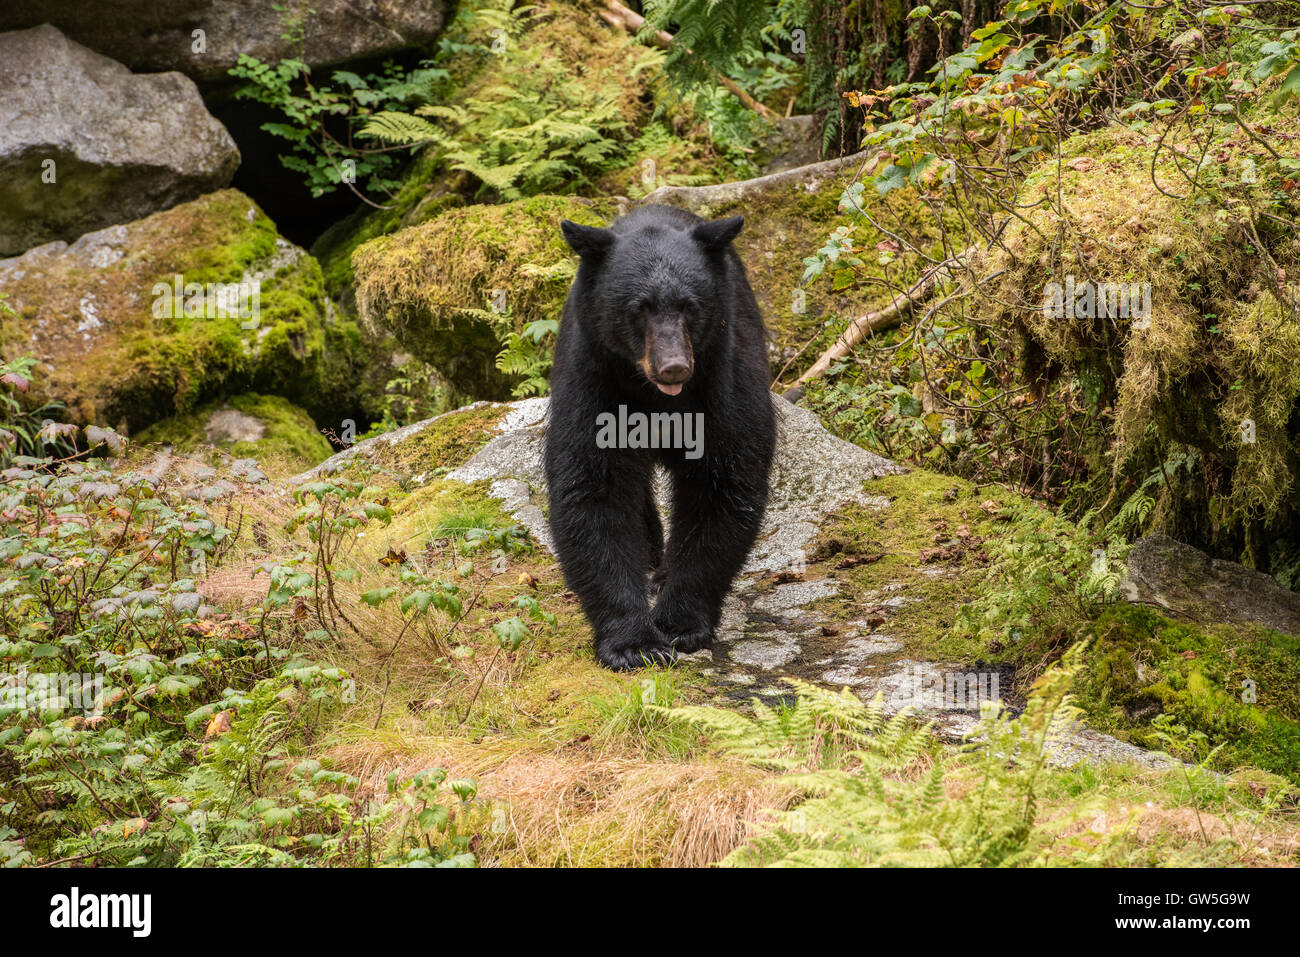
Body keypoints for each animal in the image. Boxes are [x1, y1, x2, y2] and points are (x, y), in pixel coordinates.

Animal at [544, 204, 776, 670]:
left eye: (689, 306)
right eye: (640, 308)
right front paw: (633, 642)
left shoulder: (722, 381)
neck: (655, 397)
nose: (674, 366)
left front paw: (680, 624)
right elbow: (592, 487)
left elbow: (723, 484)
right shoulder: (593, 378)